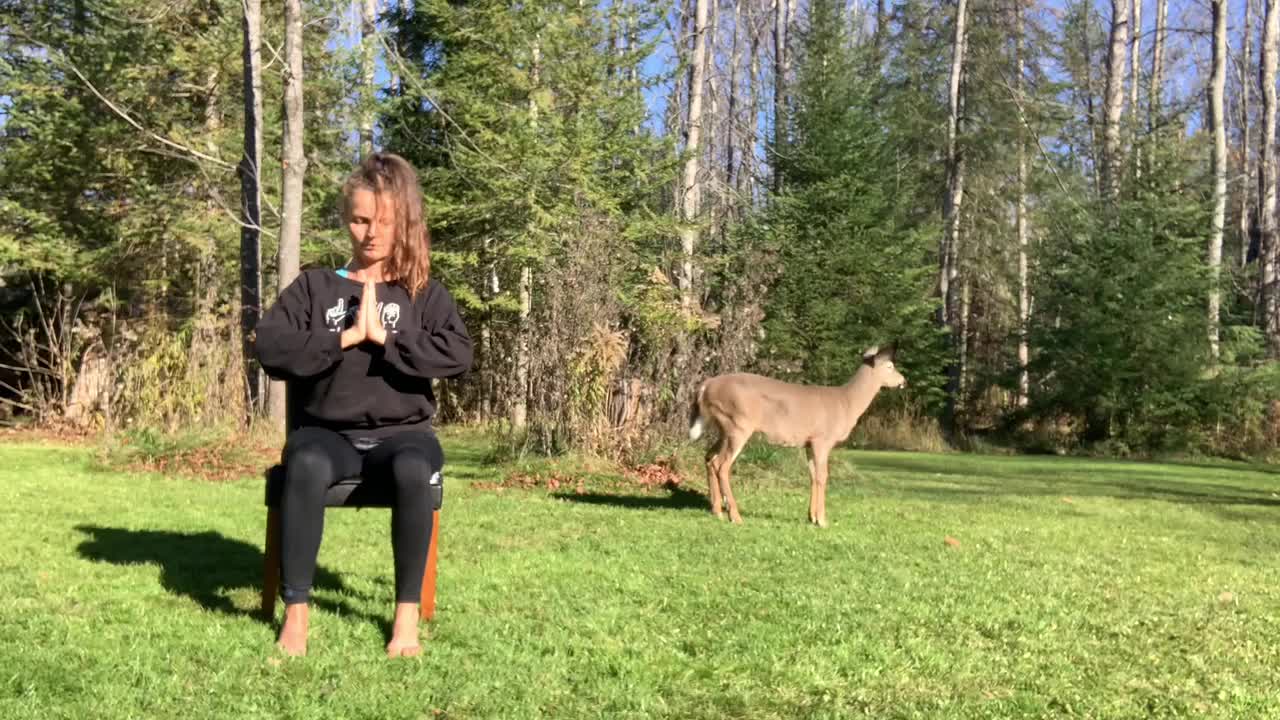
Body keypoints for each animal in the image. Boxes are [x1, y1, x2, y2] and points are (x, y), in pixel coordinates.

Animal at [688, 345, 907, 527]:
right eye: (890, 366)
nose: (904, 381)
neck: (846, 403)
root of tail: (705, 386)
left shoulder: (809, 443)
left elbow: (812, 476)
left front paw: (811, 517)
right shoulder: (822, 439)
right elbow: (822, 476)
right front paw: (822, 520)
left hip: (724, 427)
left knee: (709, 457)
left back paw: (717, 511)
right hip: (738, 424)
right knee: (722, 465)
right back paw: (735, 516)